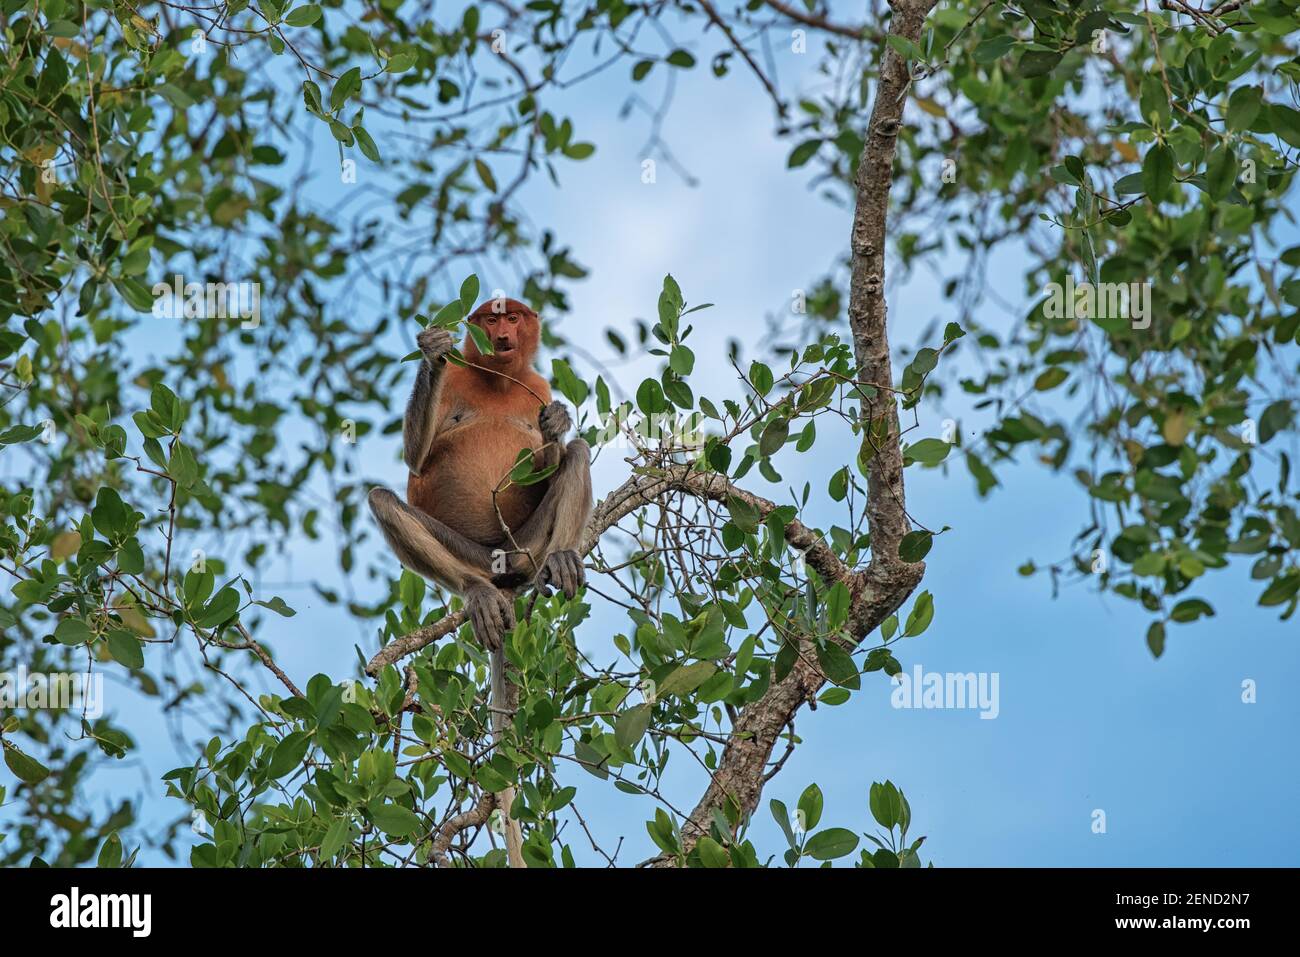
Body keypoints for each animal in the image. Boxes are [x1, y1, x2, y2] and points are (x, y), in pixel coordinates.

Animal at [367, 296, 593, 867]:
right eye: (490, 318)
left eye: (513, 317)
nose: (502, 330)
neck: (495, 378)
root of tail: (505, 569)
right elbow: (416, 456)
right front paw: (433, 348)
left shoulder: (537, 381)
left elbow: (549, 448)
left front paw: (557, 422)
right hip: (471, 553)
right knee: (383, 499)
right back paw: (479, 597)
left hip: (525, 545)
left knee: (578, 454)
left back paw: (560, 561)